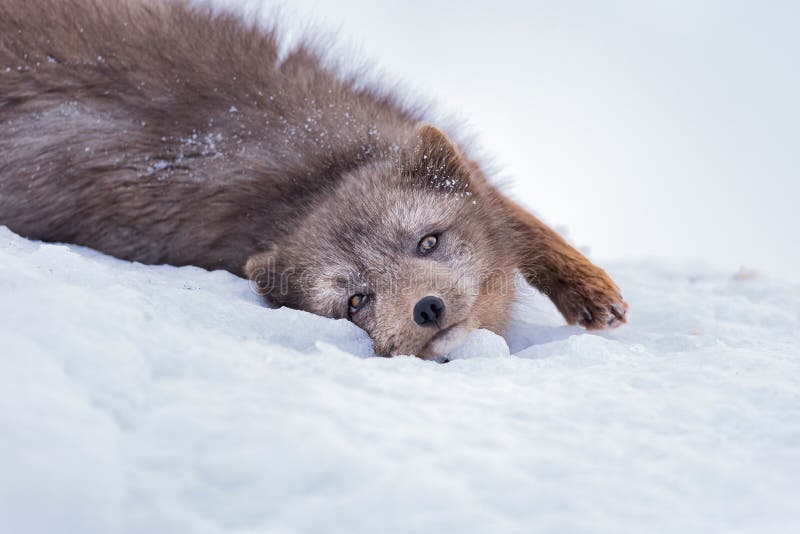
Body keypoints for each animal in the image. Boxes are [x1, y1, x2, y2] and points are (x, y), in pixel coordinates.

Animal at [0, 0, 627, 359]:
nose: (425, 308)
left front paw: (591, 291)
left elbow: (513, 215)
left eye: (428, 241)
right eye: (355, 301)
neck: (309, 179)